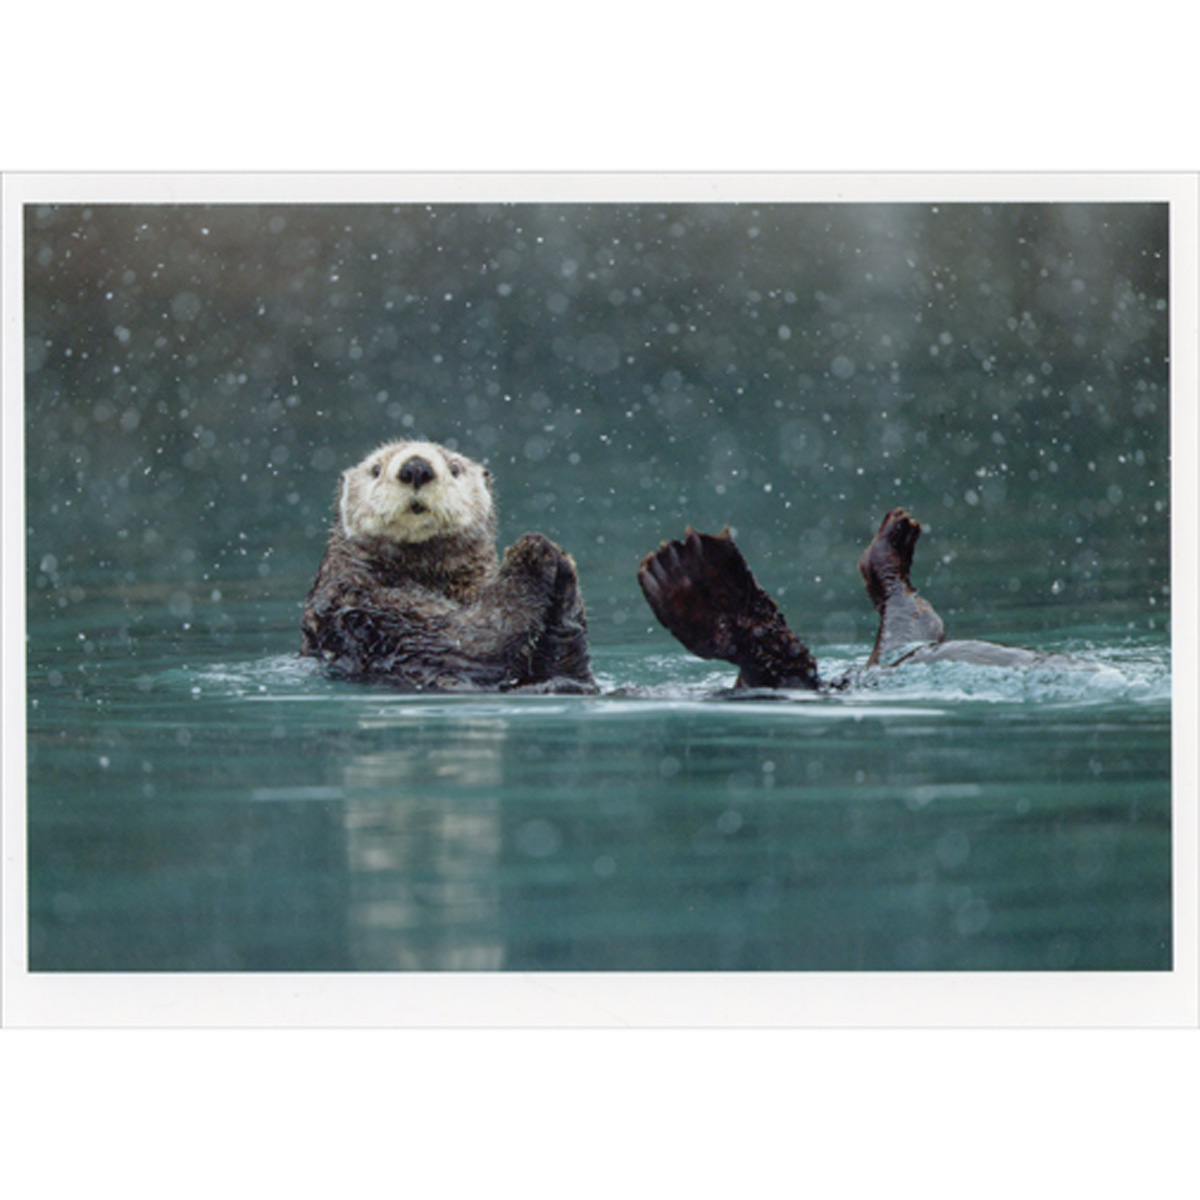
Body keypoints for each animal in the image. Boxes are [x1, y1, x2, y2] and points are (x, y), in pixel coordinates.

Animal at [301, 440, 596, 693]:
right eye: (375, 469)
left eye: (455, 468)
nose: (416, 467)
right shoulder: (366, 609)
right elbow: (471, 637)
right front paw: (532, 550)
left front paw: (564, 571)